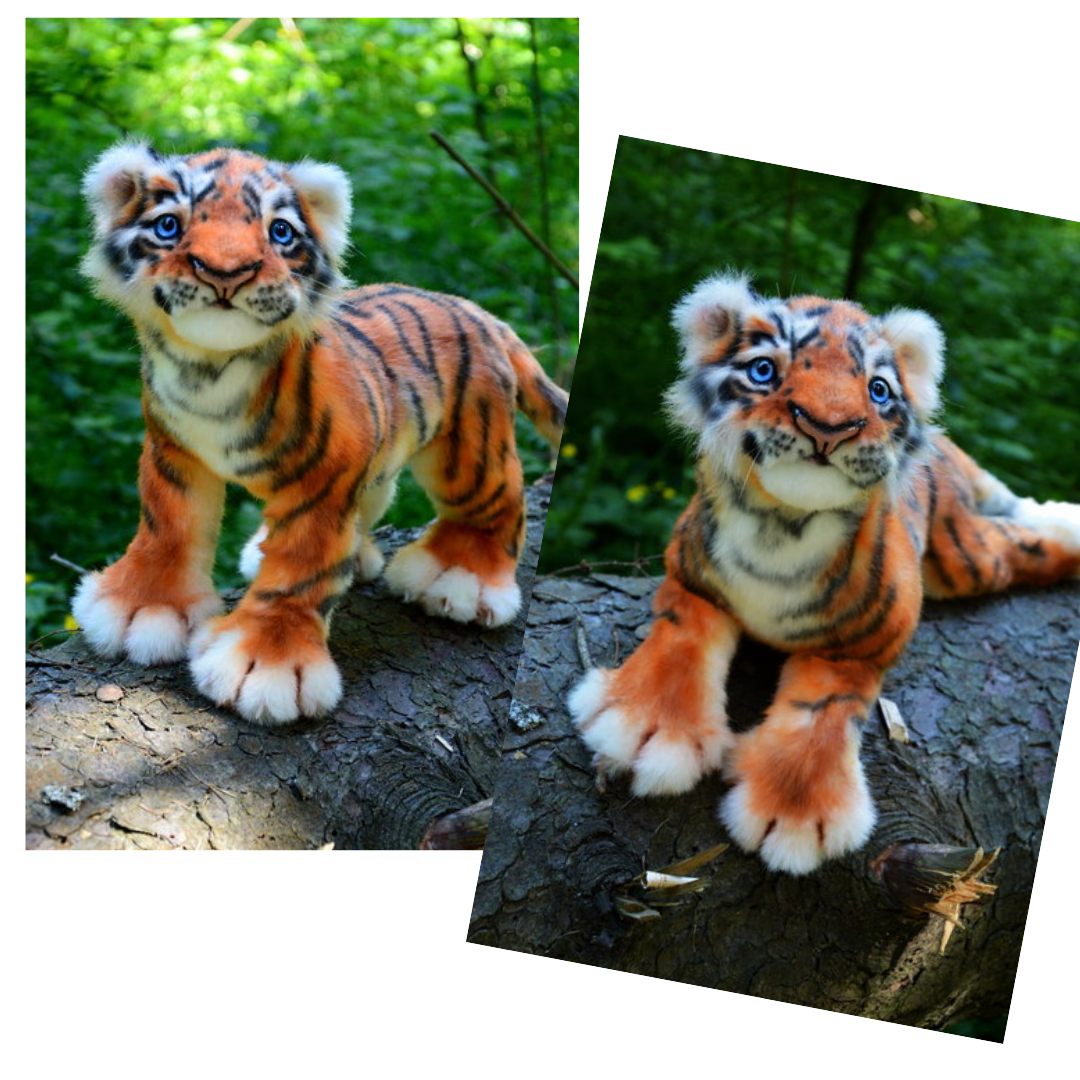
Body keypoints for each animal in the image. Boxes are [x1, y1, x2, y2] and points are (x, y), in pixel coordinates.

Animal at [73, 141, 568, 726]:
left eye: (280, 232)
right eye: (169, 225)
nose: (226, 272)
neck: (209, 373)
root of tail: (481, 313)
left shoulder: (326, 483)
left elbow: (301, 570)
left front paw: (262, 666)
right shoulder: (171, 448)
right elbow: (168, 523)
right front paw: (141, 608)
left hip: (469, 448)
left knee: (496, 501)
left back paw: (458, 578)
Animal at [569, 271, 1080, 875]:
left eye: (878, 390)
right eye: (764, 370)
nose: (829, 427)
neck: (781, 531)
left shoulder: (862, 646)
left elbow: (824, 708)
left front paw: (793, 817)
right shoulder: (689, 578)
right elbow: (681, 636)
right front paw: (645, 730)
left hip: (965, 557)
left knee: (1021, 541)